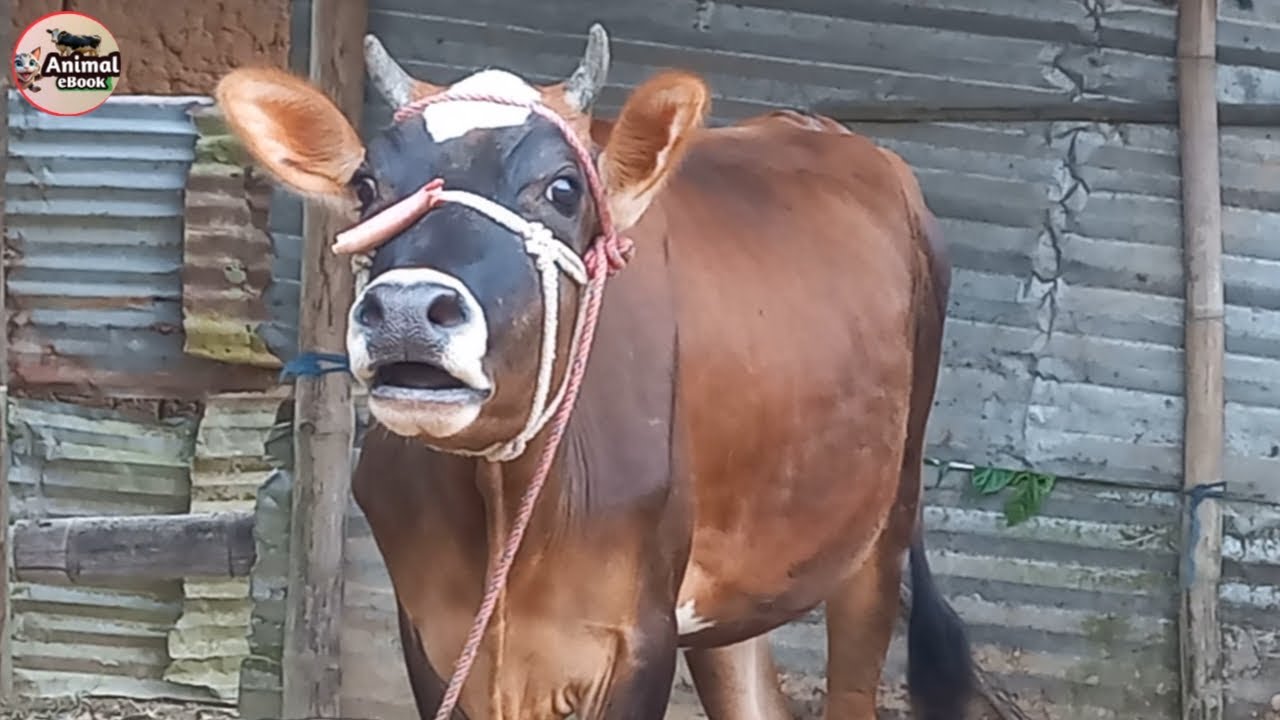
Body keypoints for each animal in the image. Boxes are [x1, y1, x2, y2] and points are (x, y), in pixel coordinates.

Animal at [215, 24, 975, 720]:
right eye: (369, 186)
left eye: (562, 188)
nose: (405, 309)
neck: (508, 507)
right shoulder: (432, 631)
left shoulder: (638, 635)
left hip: (880, 536)